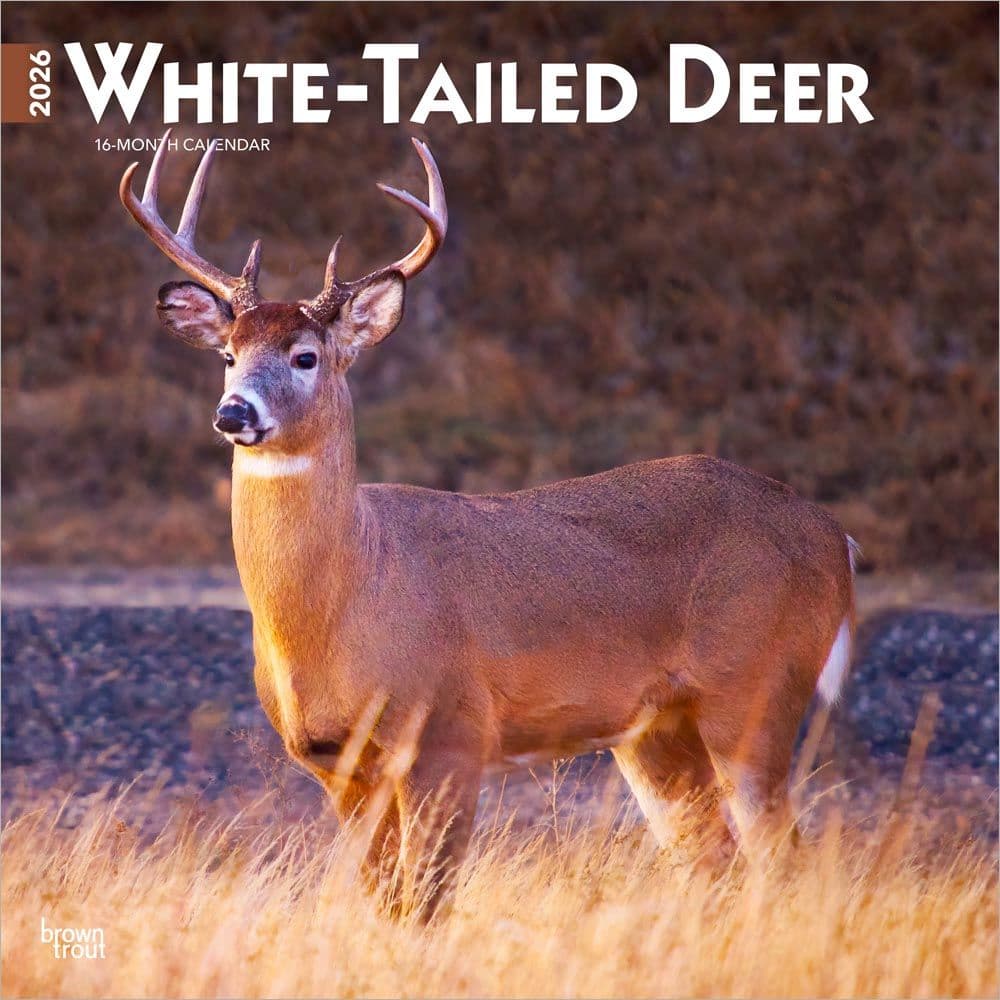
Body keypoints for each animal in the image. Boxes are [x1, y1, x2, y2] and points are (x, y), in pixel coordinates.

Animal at [120, 130, 858, 916]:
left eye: (305, 356)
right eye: (228, 355)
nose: (234, 412)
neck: (350, 595)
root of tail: (835, 537)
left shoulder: (450, 730)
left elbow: (426, 903)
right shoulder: (336, 764)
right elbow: (381, 899)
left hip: (753, 690)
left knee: (784, 860)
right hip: (656, 730)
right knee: (714, 861)